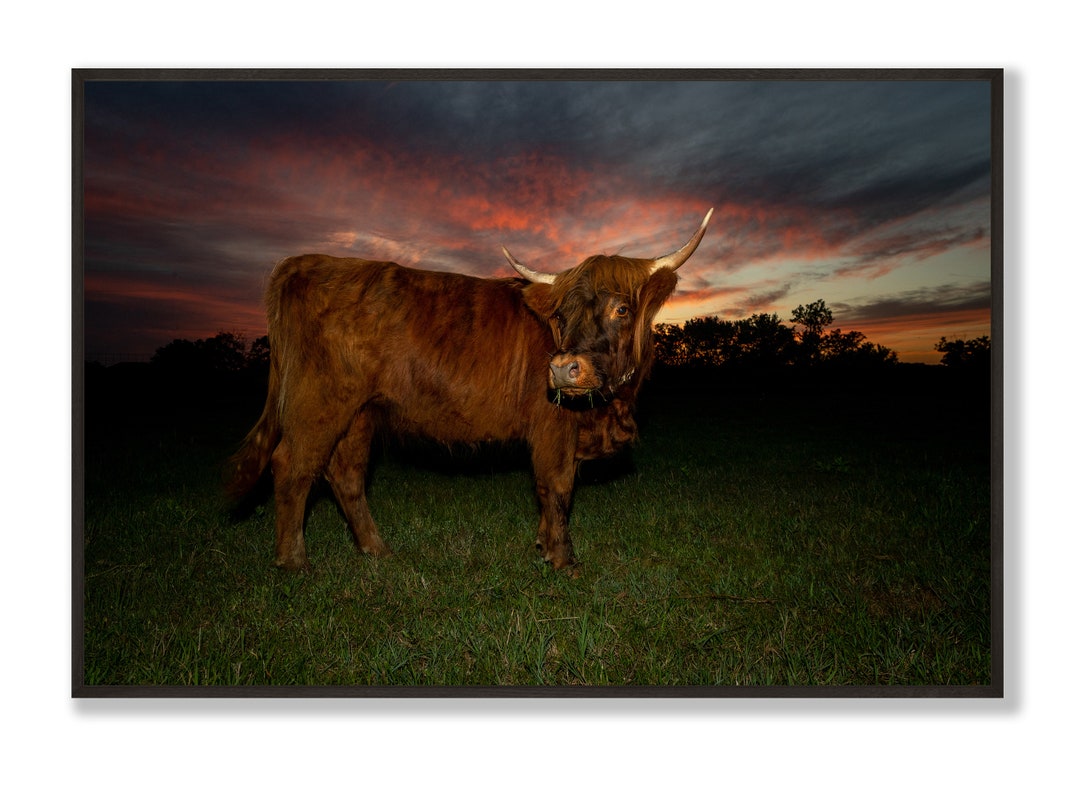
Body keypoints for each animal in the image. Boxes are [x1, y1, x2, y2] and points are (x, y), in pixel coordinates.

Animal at [227, 209, 713, 572]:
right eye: (560, 315)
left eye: (622, 309)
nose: (562, 370)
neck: (610, 413)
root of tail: (303, 263)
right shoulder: (553, 427)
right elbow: (556, 486)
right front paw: (563, 560)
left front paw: (544, 545)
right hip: (319, 401)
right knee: (293, 466)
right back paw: (294, 562)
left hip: (359, 413)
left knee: (346, 474)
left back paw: (377, 550)